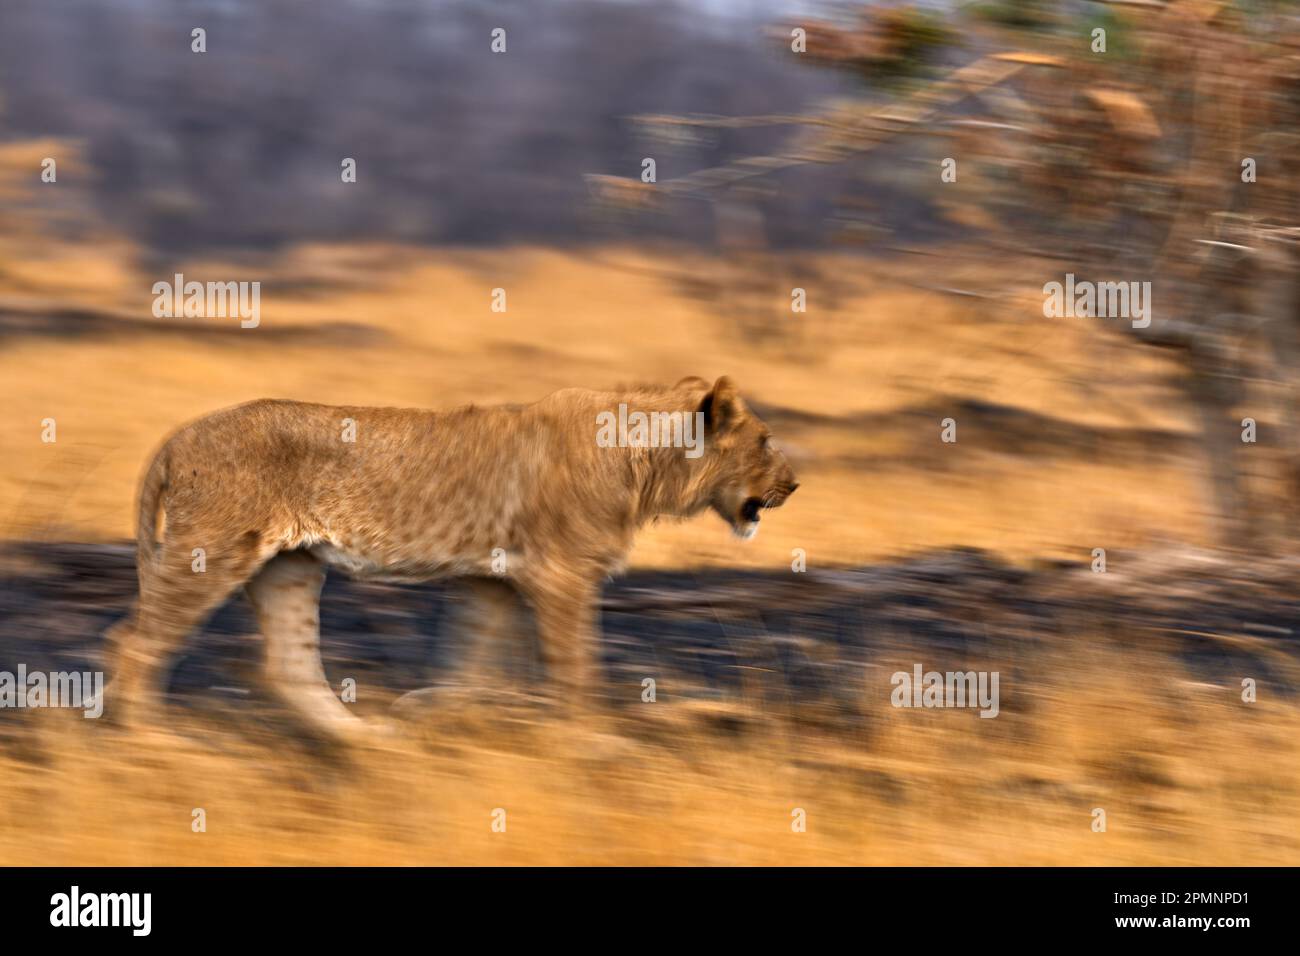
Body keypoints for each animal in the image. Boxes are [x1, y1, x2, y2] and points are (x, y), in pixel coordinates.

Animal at [100, 375, 798, 738]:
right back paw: (148, 740)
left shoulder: (495, 580)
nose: (794, 484)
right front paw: (591, 743)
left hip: (289, 568)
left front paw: (431, 708)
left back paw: (368, 741)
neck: (647, 463)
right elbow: (578, 669)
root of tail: (176, 437)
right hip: (213, 550)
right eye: (766, 441)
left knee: (290, 667)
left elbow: (471, 663)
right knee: (135, 640)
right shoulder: (562, 573)